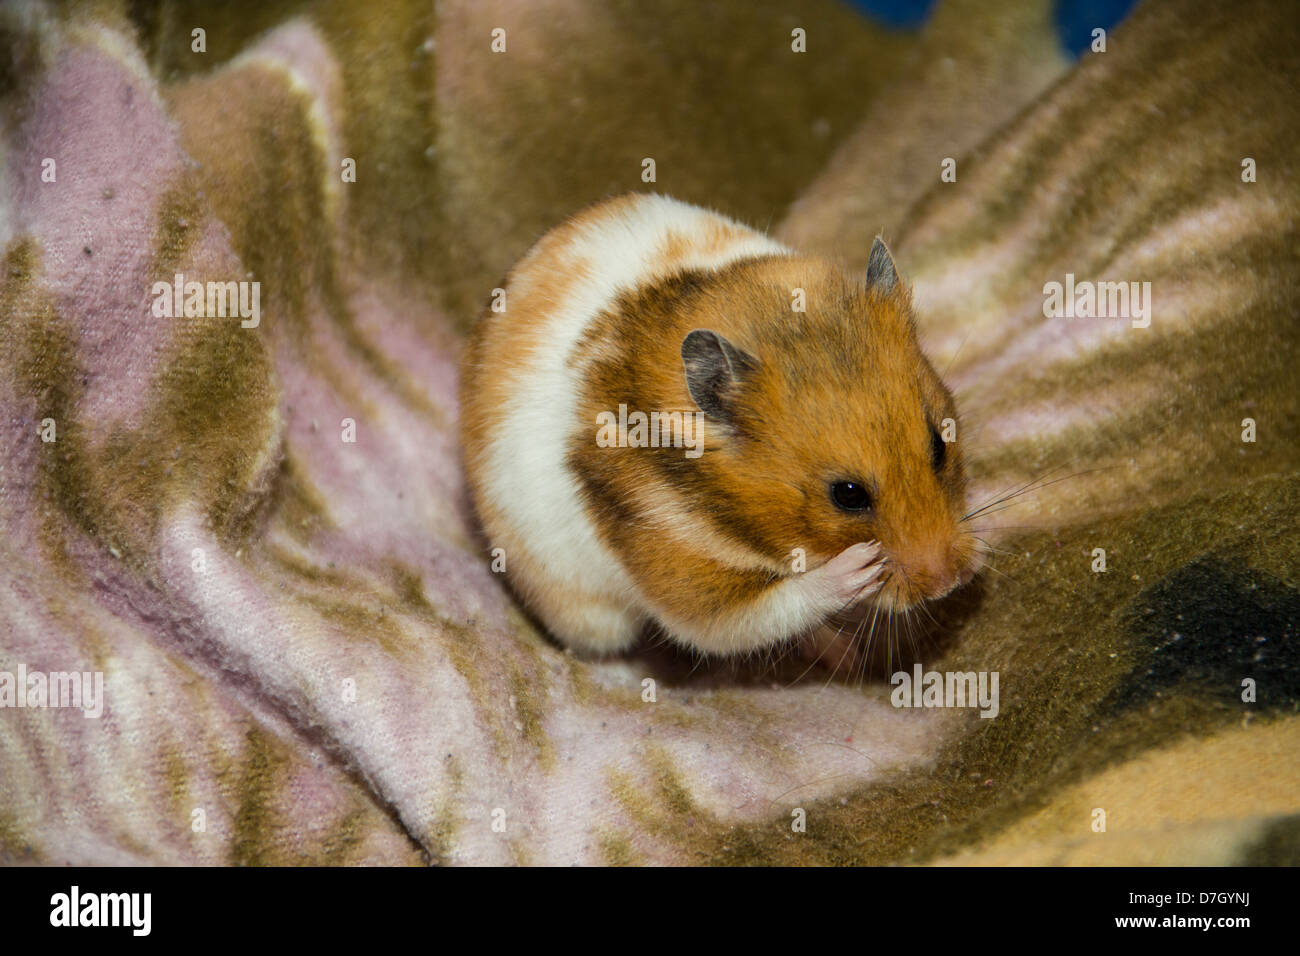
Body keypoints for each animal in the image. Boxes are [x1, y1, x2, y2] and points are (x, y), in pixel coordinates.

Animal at [460, 193, 981, 657]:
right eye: (848, 495)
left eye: (939, 446)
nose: (946, 584)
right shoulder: (679, 570)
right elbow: (754, 614)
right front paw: (856, 567)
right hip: (587, 615)